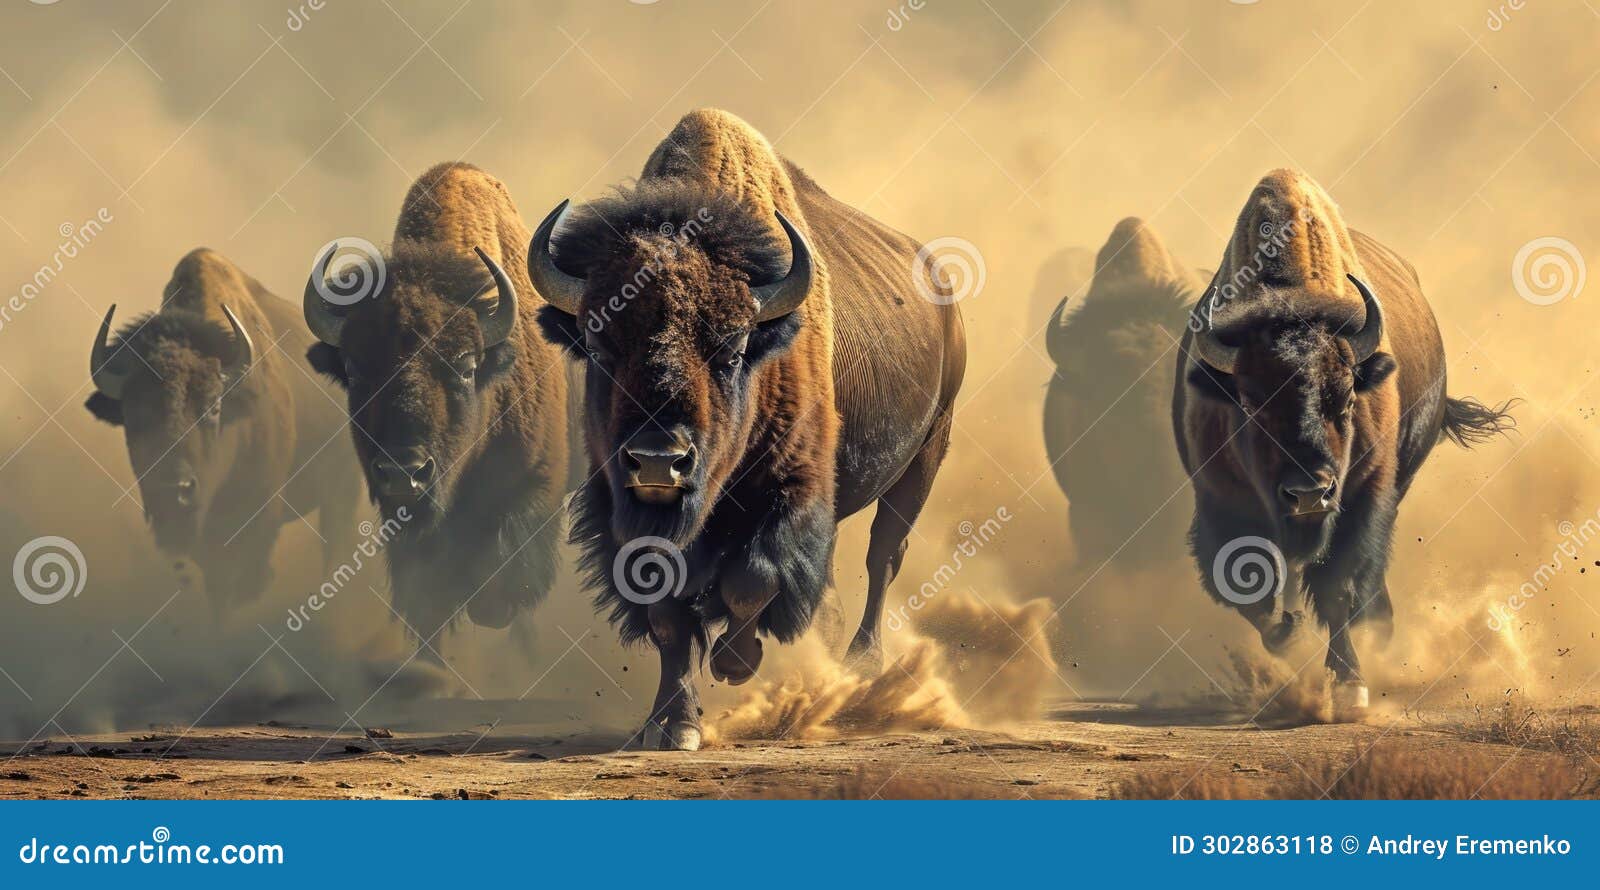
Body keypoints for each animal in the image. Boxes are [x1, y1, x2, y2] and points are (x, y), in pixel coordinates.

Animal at [527, 108, 967, 750]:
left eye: (733, 352)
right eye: (599, 345)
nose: (659, 461)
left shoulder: (792, 488)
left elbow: (752, 579)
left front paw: (736, 662)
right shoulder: (623, 513)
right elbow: (667, 614)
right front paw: (672, 724)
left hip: (926, 456)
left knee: (884, 554)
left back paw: (859, 667)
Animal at [1172, 169, 1514, 716]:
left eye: (1350, 395)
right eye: (1248, 403)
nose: (1309, 492)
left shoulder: (1363, 495)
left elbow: (1341, 584)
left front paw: (1351, 688)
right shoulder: (1220, 502)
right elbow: (1248, 590)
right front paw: (1288, 638)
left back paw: (1378, 633)